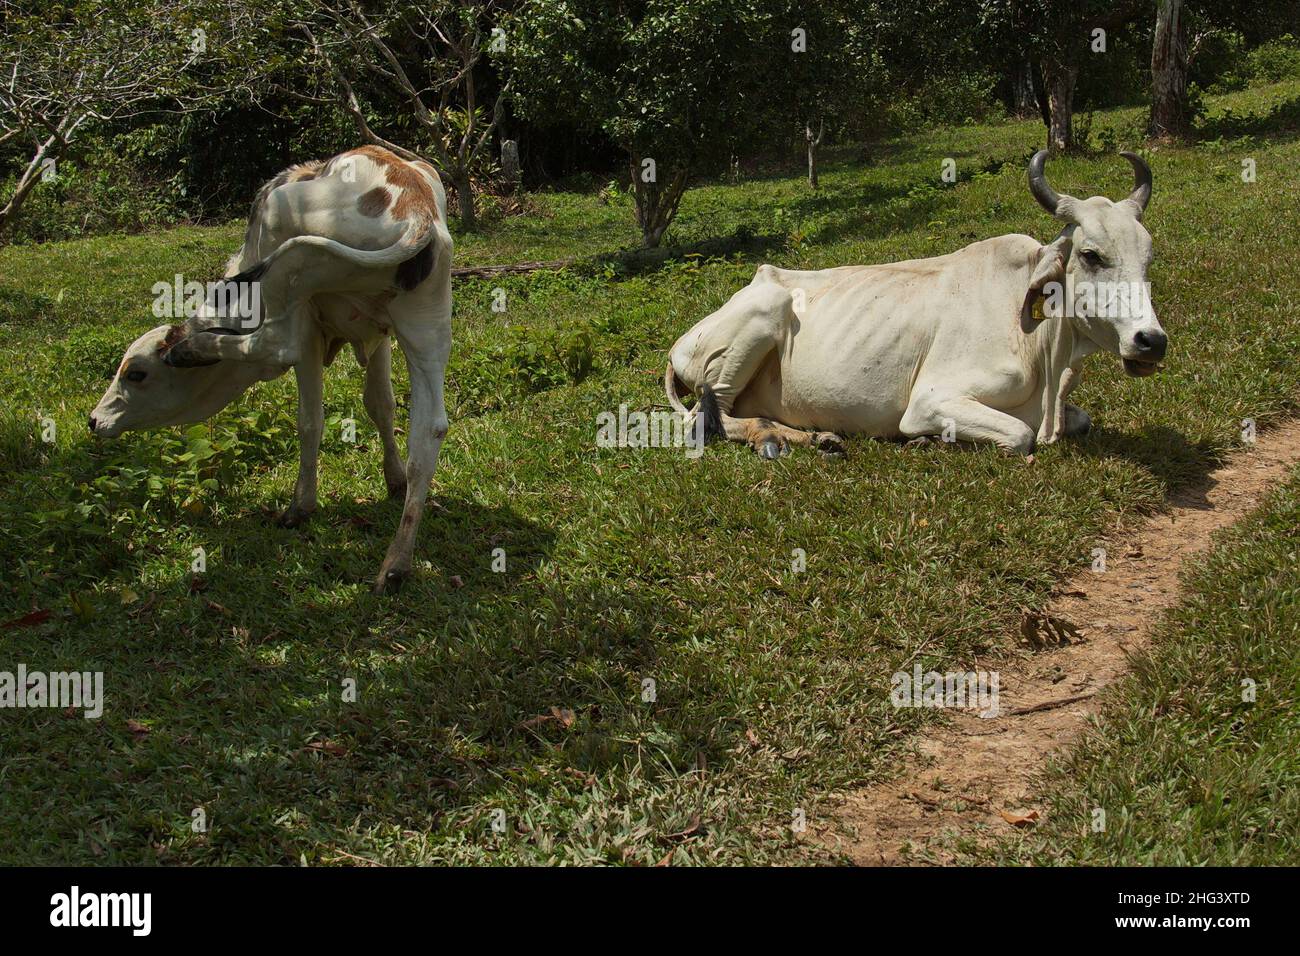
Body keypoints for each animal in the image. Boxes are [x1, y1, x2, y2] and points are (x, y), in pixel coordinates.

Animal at [89, 146, 453, 595]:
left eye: (135, 373)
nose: (94, 419)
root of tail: (415, 207)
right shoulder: (379, 332)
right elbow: (381, 406)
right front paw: (395, 480)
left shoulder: (313, 329)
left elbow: (311, 420)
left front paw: (302, 506)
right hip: (425, 325)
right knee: (429, 429)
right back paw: (396, 563)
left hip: (293, 276)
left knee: (278, 346)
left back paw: (191, 349)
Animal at [664, 150, 1164, 458]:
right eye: (1091, 254)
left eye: (1148, 255)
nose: (1151, 341)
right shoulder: (931, 400)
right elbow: (1020, 436)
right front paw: (931, 442)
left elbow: (1083, 420)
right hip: (758, 322)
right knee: (705, 420)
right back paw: (772, 438)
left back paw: (816, 437)